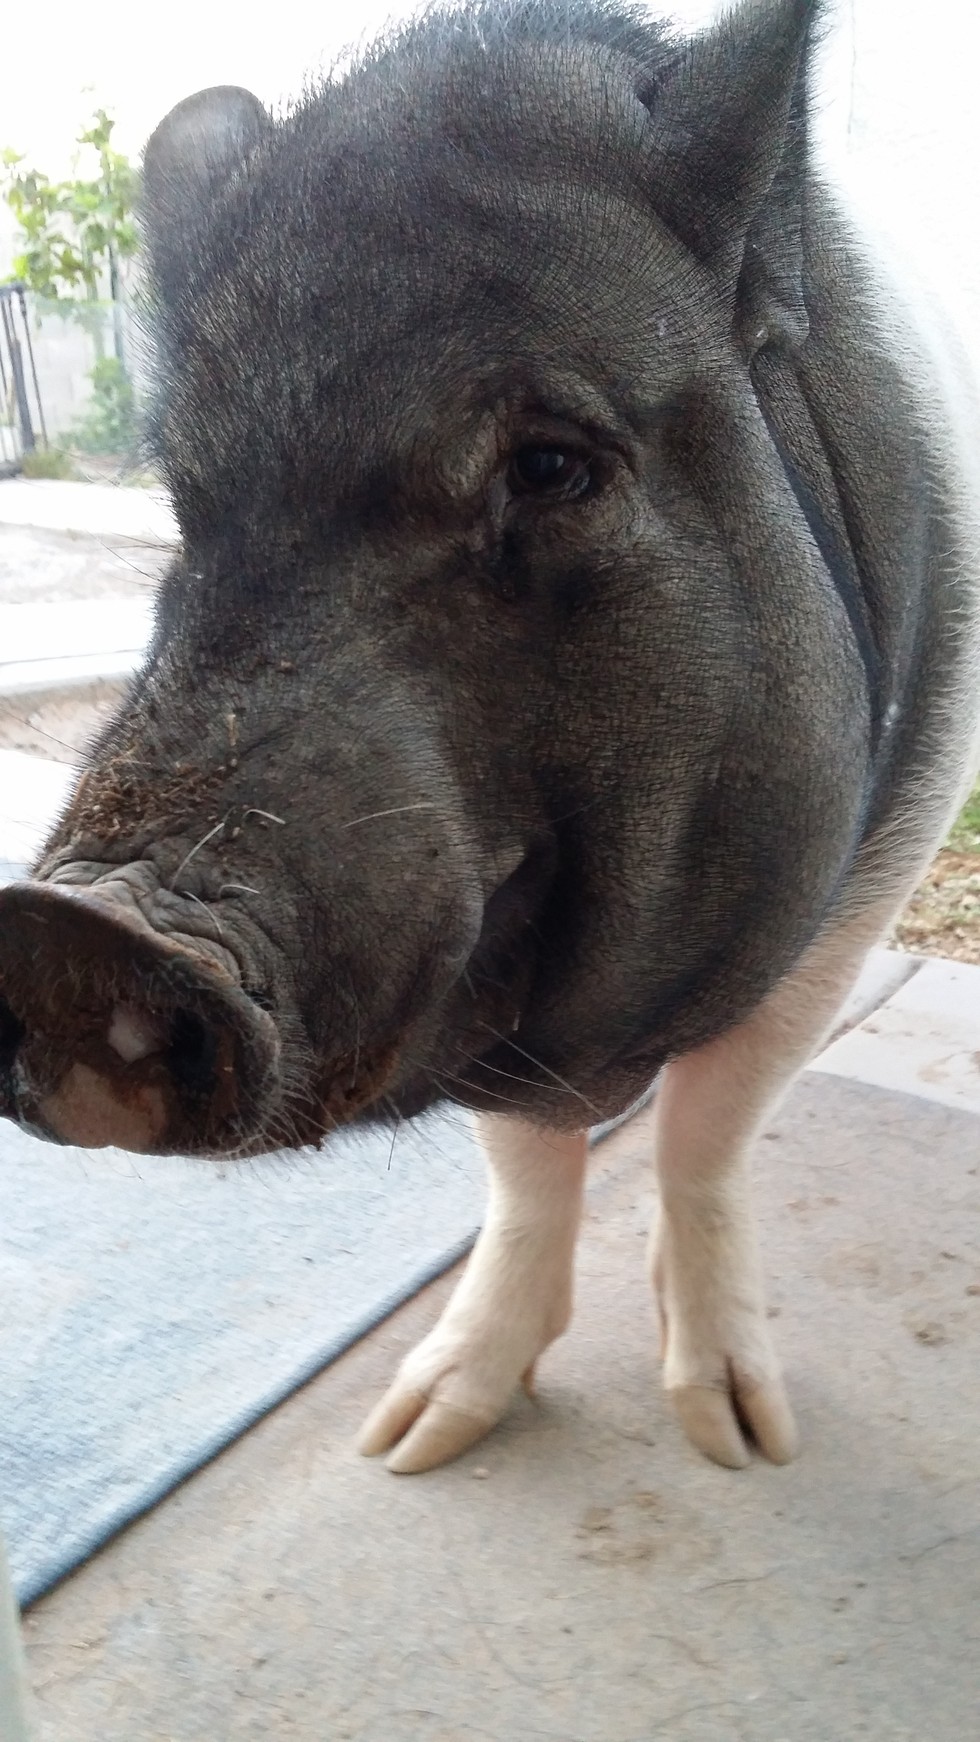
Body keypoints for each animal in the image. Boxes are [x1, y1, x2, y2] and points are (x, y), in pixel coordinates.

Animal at [1, 0, 978, 1477]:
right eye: (185, 505)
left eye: (553, 464)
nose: (76, 929)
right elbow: (520, 1159)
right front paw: (413, 1440)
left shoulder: (877, 868)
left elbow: (708, 1124)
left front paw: (739, 1439)